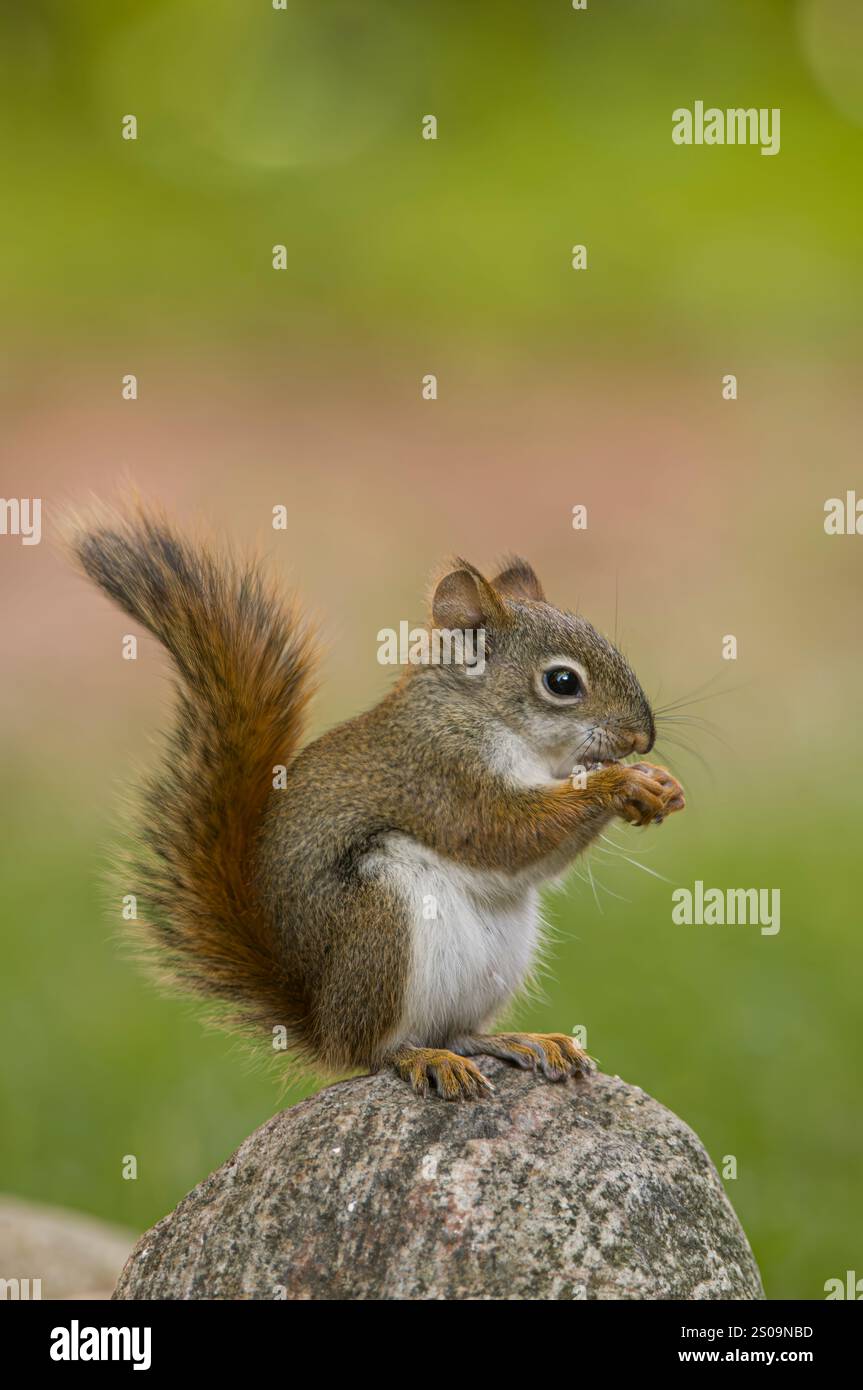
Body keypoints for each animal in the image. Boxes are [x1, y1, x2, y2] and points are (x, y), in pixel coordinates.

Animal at [69, 501, 685, 1101]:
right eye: (562, 682)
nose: (642, 739)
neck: (489, 719)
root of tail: (320, 1018)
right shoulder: (439, 773)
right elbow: (502, 831)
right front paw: (620, 784)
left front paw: (658, 782)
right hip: (380, 922)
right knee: (371, 1051)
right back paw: (420, 1057)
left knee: (457, 1030)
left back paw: (518, 1040)